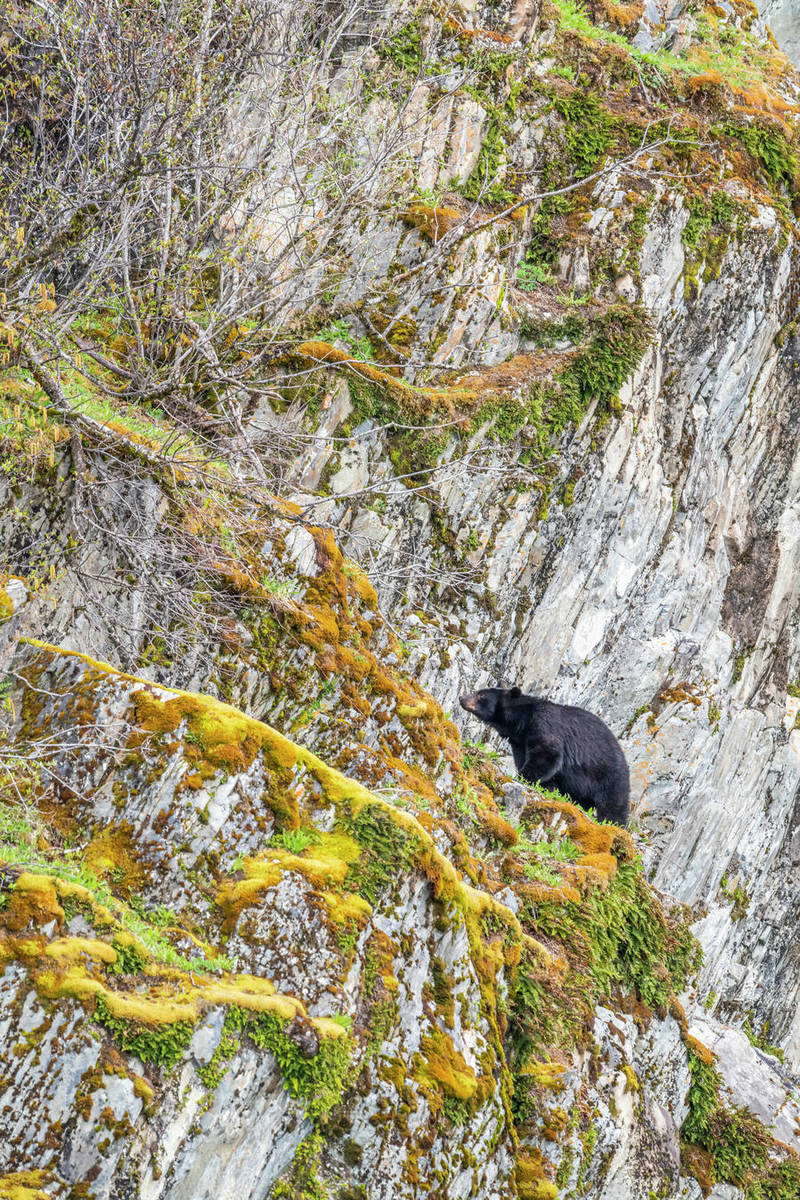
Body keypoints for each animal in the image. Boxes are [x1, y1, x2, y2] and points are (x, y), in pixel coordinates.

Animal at [459, 686, 630, 827]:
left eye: (481, 694)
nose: (461, 698)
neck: (522, 721)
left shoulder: (545, 725)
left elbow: (547, 754)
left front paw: (523, 777)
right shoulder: (519, 743)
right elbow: (527, 760)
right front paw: (545, 785)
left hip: (609, 777)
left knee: (613, 804)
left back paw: (613, 823)